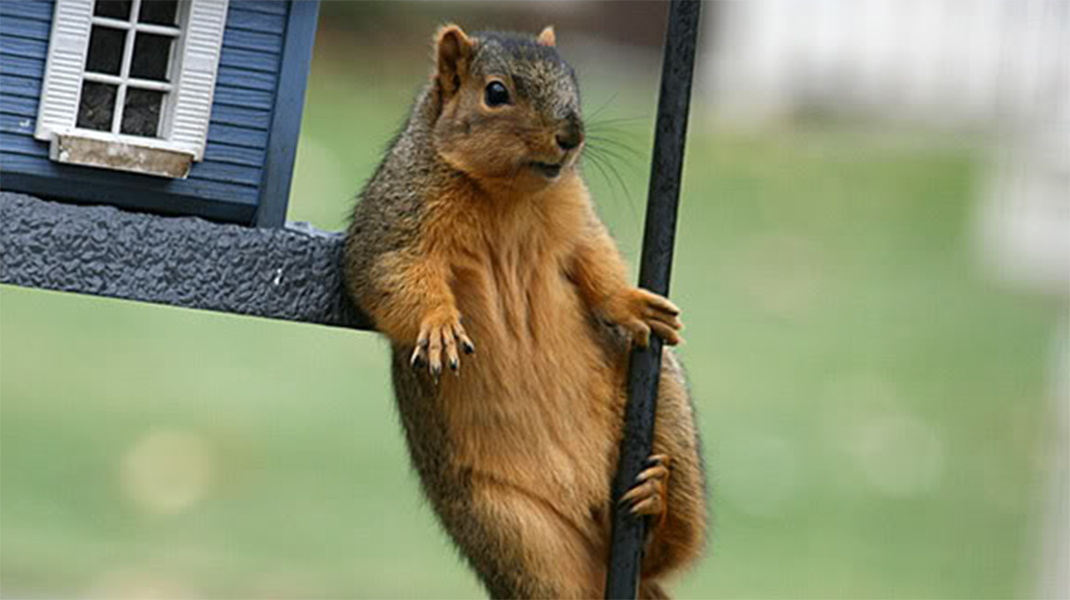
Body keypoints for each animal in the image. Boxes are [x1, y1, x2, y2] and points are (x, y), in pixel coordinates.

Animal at [343, 24, 707, 599]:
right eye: (496, 93)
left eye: (573, 79)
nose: (571, 135)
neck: (505, 196)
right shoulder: (394, 226)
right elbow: (392, 276)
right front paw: (438, 326)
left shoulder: (577, 223)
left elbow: (597, 263)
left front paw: (630, 301)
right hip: (510, 532)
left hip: (667, 414)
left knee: (665, 551)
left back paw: (656, 500)